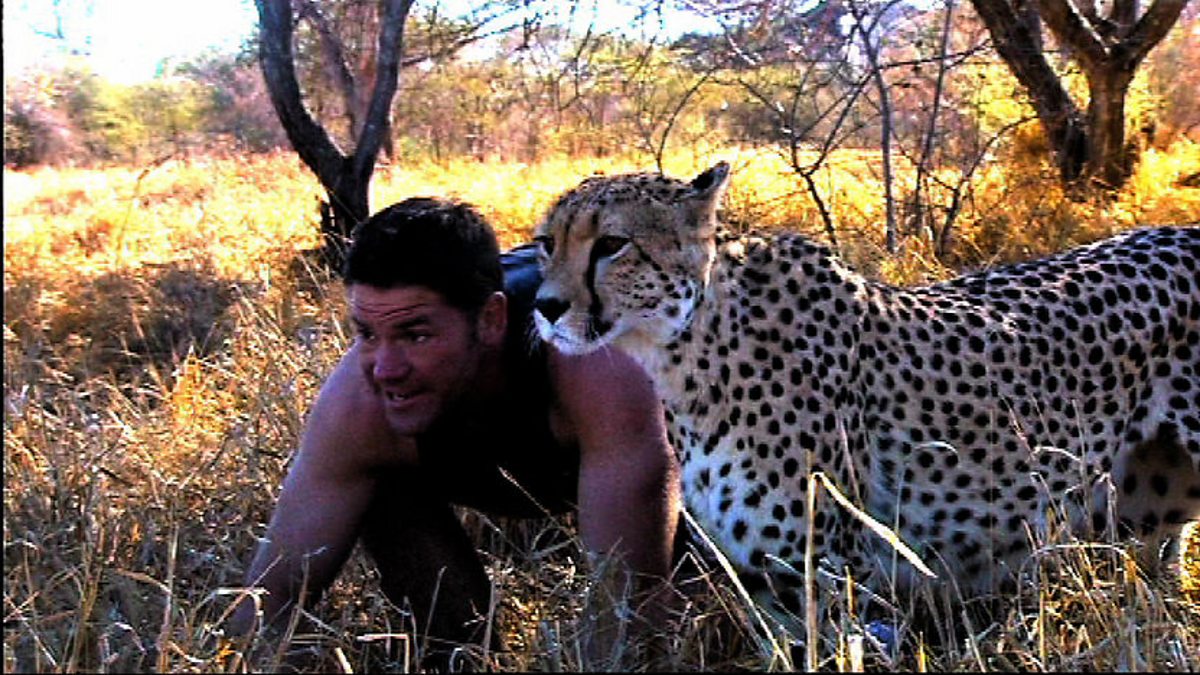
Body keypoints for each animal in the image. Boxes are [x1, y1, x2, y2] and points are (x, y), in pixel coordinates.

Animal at [530, 160, 1200, 633]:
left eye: (611, 244)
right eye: (545, 244)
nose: (544, 307)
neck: (691, 346)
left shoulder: (823, 576)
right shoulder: (768, 584)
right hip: (1147, 506)